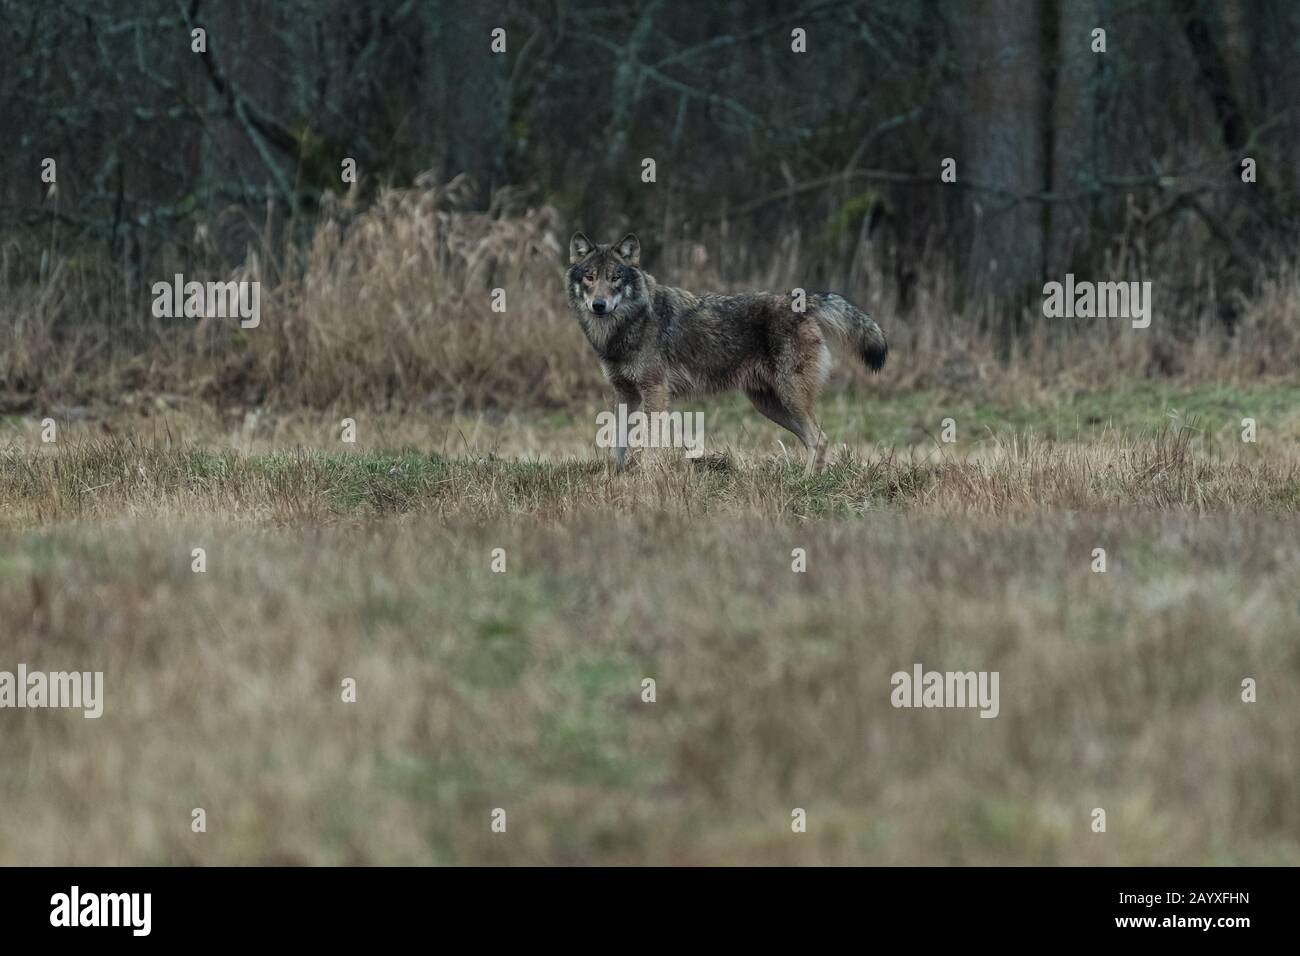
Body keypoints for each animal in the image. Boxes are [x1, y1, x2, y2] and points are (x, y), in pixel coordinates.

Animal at [566, 232, 887, 473]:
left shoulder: (654, 392)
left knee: (820, 439)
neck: (624, 328)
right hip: (769, 405)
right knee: (814, 441)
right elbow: (617, 442)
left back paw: (806, 485)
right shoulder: (625, 393)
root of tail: (801, 302)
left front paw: (644, 477)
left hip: (789, 398)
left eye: (615, 278)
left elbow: (649, 442)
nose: (598, 305)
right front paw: (617, 477)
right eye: (590, 278)